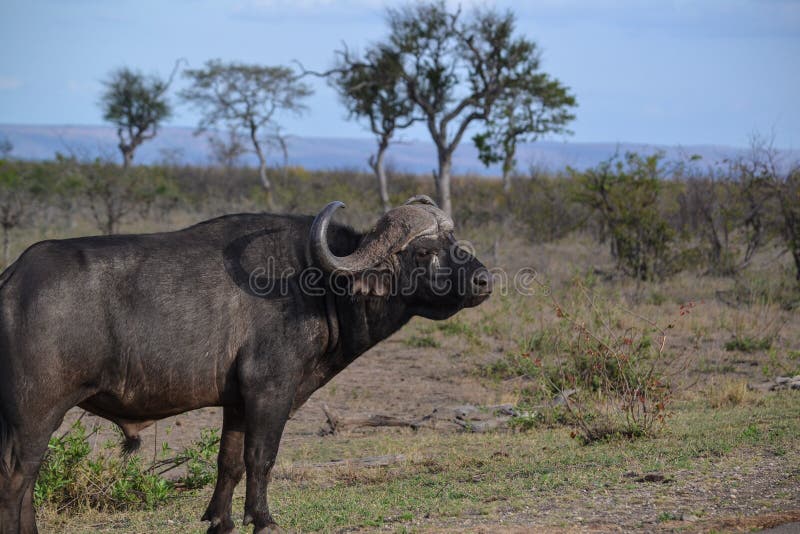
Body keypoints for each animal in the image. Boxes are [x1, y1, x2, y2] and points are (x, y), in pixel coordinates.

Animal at [0, 195, 491, 533]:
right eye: (424, 252)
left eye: (454, 242)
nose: (483, 280)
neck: (318, 283)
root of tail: (12, 278)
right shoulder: (270, 390)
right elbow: (261, 457)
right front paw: (264, 519)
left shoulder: (237, 402)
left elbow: (230, 461)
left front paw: (221, 520)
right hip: (36, 413)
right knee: (18, 477)